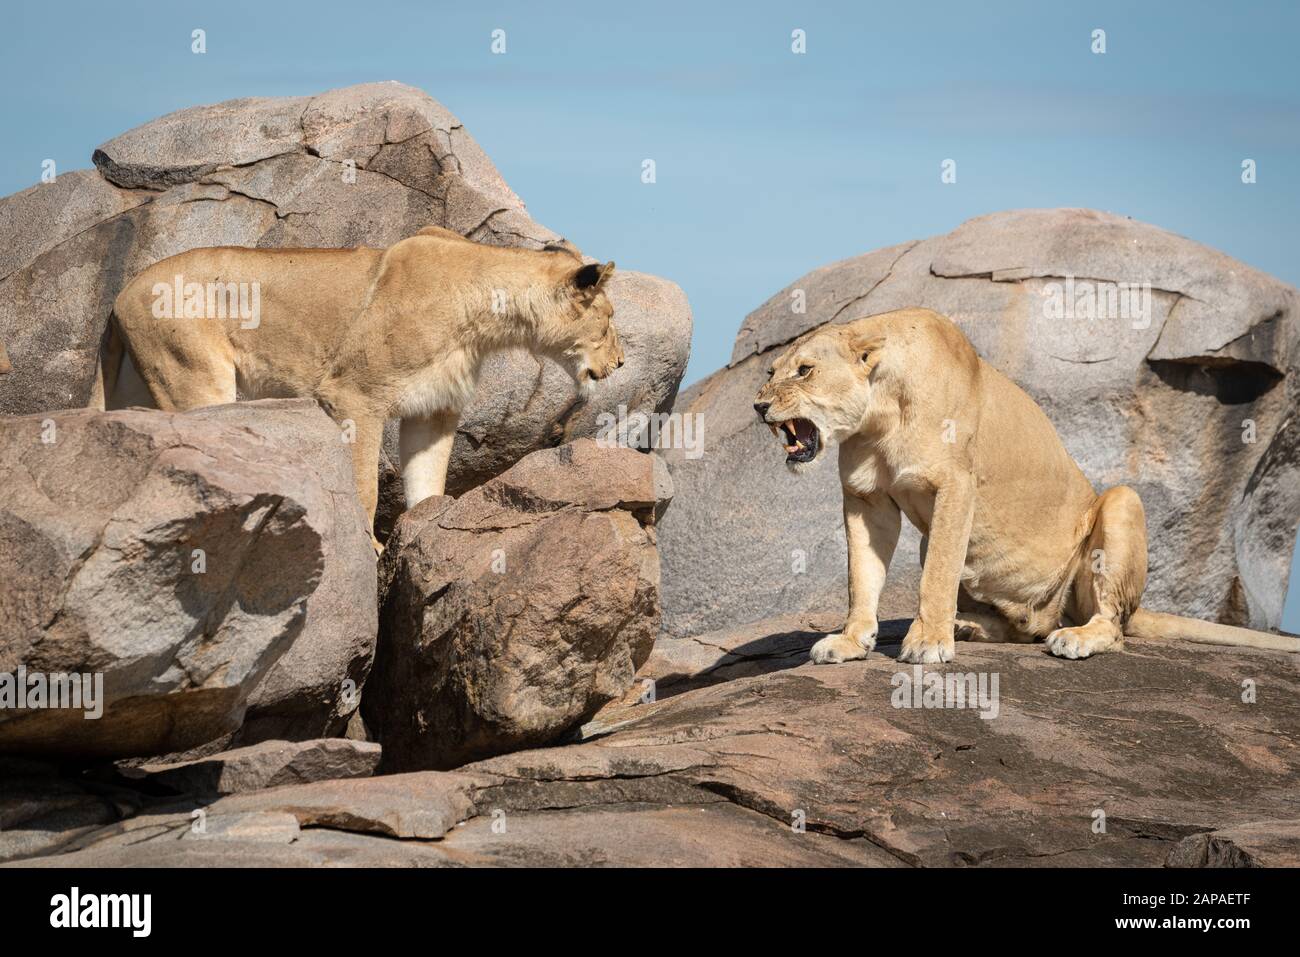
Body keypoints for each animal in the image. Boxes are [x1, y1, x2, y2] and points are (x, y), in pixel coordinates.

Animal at [95, 226, 624, 547]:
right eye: (609, 319)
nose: (620, 363)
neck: (486, 317)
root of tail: (121, 295)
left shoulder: (432, 411)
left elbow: (427, 484)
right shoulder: (353, 397)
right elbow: (363, 486)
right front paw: (368, 548)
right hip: (195, 377)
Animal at [753, 307, 1299, 663]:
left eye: (805, 370)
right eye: (772, 372)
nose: (758, 406)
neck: (878, 415)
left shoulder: (956, 487)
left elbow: (935, 576)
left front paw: (927, 642)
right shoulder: (867, 500)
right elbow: (861, 575)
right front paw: (851, 641)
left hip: (1120, 504)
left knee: (1110, 626)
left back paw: (1072, 638)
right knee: (1024, 629)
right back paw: (970, 625)